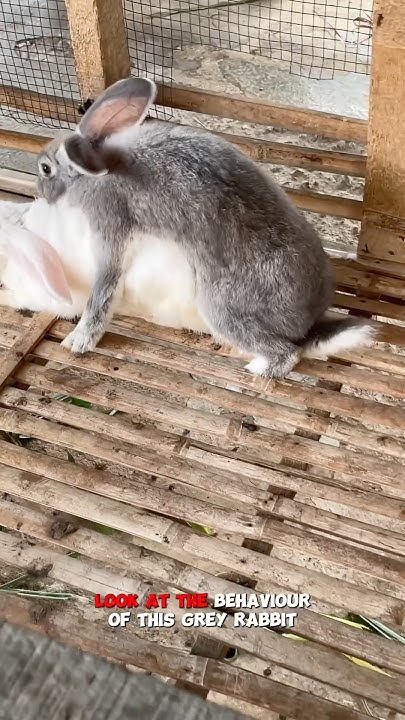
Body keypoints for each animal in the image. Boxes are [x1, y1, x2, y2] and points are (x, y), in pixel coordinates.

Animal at [0, 76, 377, 377]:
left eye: (45, 169)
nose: (41, 191)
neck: (100, 171)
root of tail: (307, 325)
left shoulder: (110, 225)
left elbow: (103, 290)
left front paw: (78, 341)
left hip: (221, 308)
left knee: (287, 354)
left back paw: (255, 367)